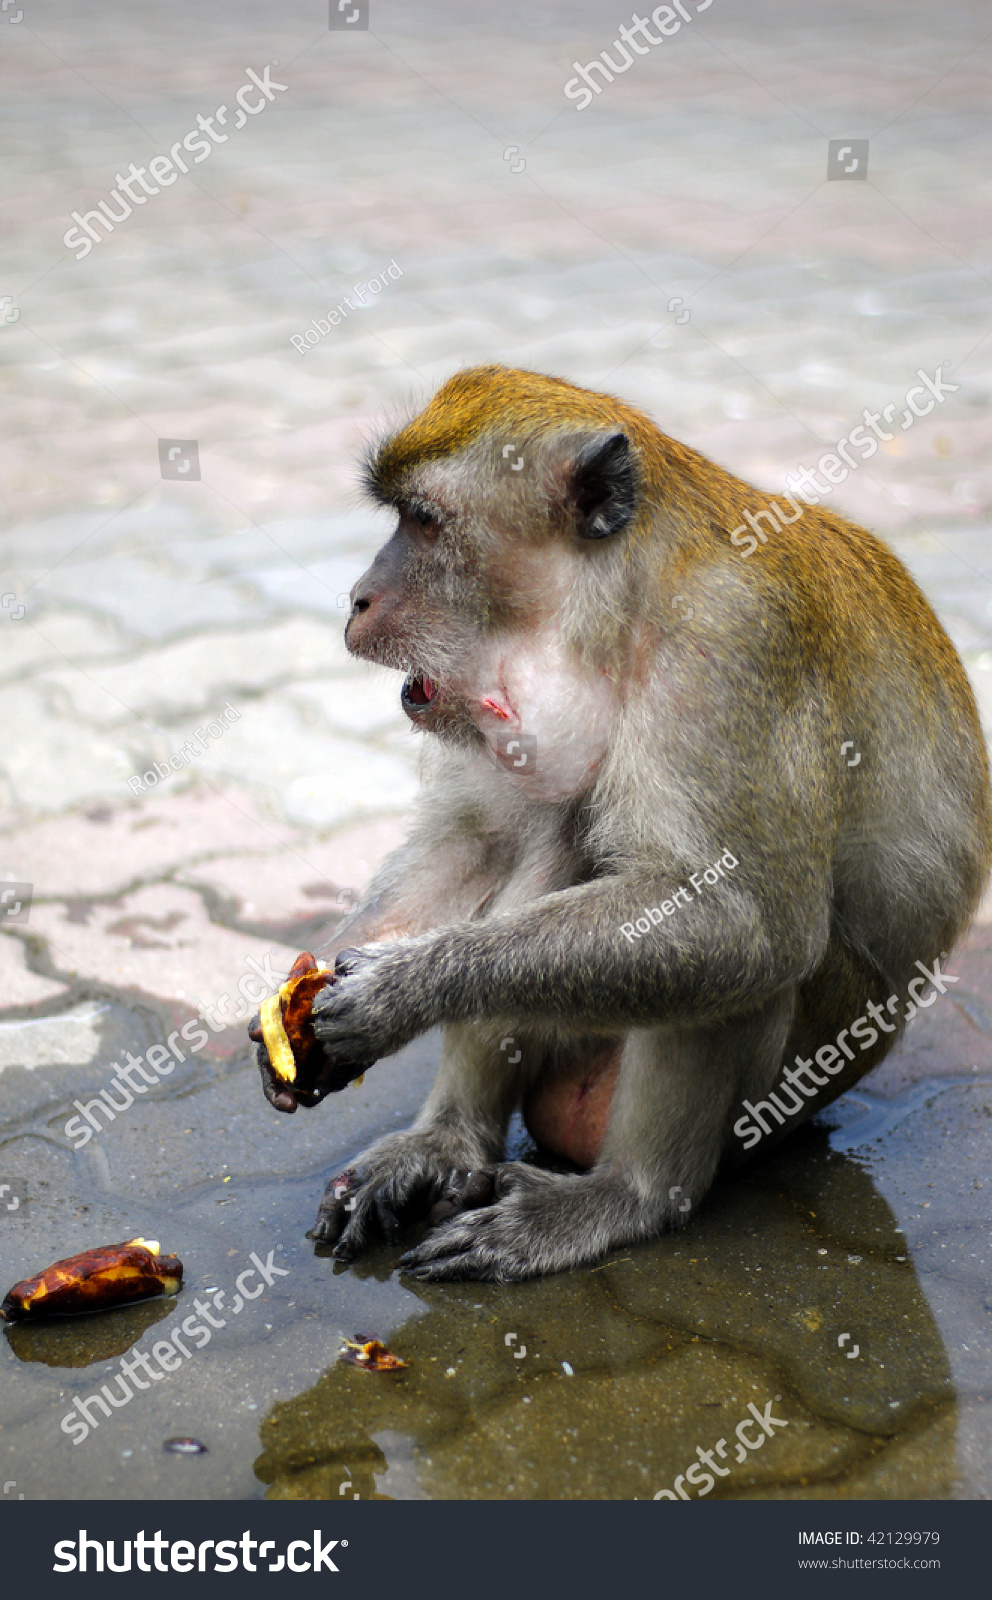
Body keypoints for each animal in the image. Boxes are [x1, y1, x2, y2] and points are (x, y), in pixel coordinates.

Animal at [250, 364, 992, 1282]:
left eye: (421, 521)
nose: (357, 597)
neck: (619, 609)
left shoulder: (731, 649)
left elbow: (741, 923)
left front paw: (401, 990)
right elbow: (474, 836)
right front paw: (302, 998)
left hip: (783, 1091)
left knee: (732, 961)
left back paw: (626, 1198)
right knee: (554, 833)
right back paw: (448, 1144)